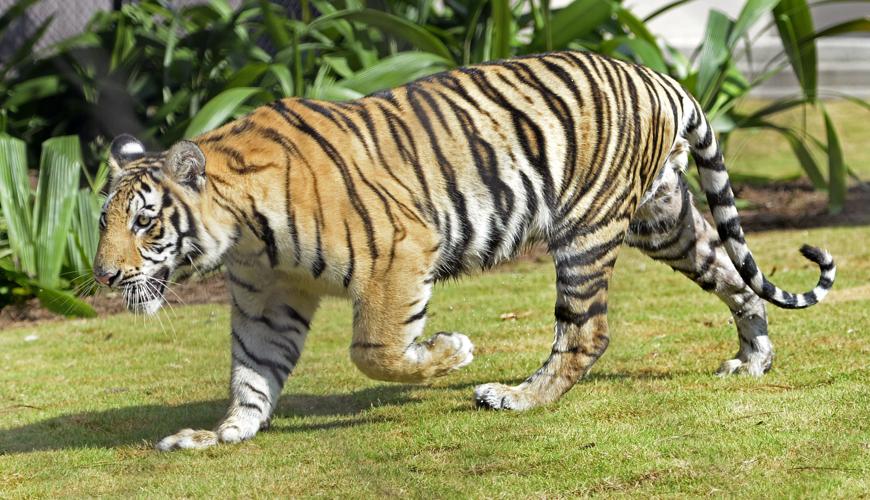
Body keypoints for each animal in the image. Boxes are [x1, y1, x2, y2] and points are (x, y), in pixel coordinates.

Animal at [93, 50, 836, 451]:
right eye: (104, 221)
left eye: (145, 223)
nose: (102, 276)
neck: (244, 234)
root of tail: (659, 76)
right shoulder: (266, 299)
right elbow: (251, 375)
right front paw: (222, 435)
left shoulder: (400, 250)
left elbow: (375, 350)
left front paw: (449, 353)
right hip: (664, 219)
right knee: (734, 277)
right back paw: (753, 360)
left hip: (586, 227)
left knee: (586, 330)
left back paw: (519, 397)